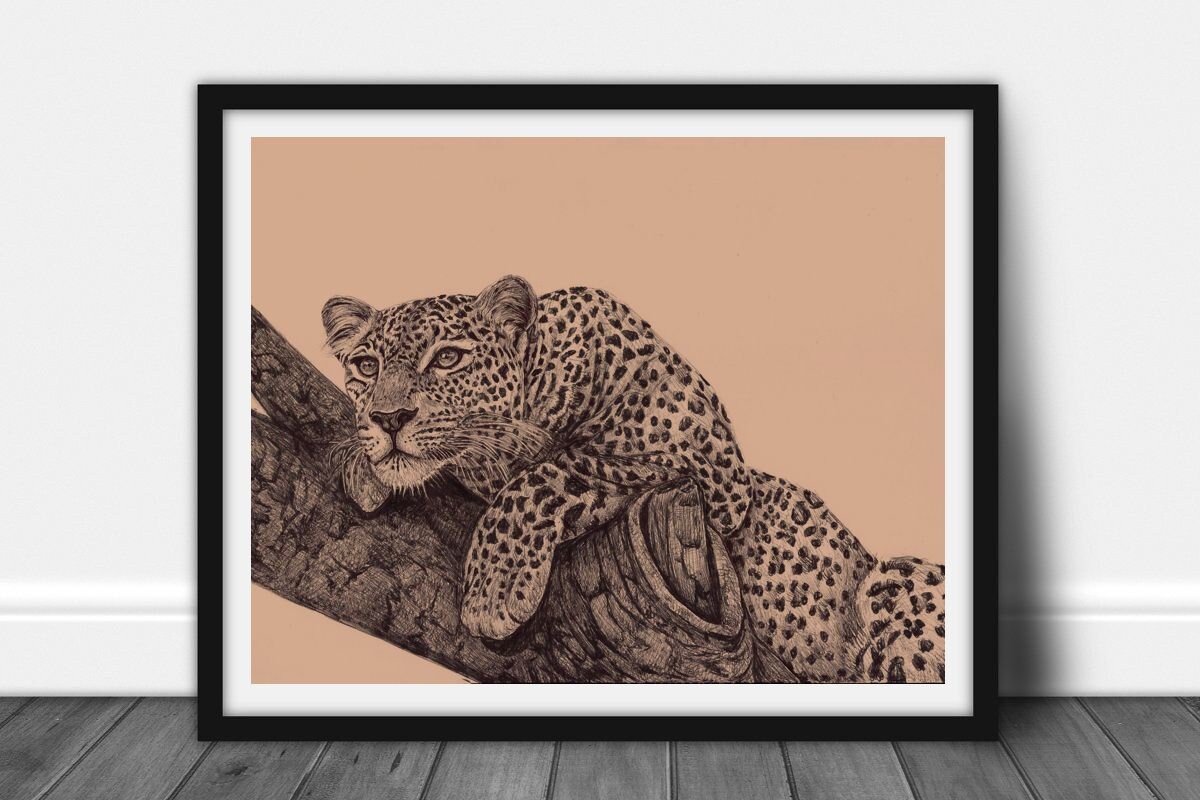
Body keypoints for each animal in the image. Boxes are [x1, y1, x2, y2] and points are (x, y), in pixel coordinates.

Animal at [322, 275, 945, 682]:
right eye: (366, 367)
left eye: (448, 359)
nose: (389, 418)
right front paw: (364, 463)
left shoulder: (709, 468)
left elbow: (550, 473)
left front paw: (494, 593)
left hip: (895, 578)